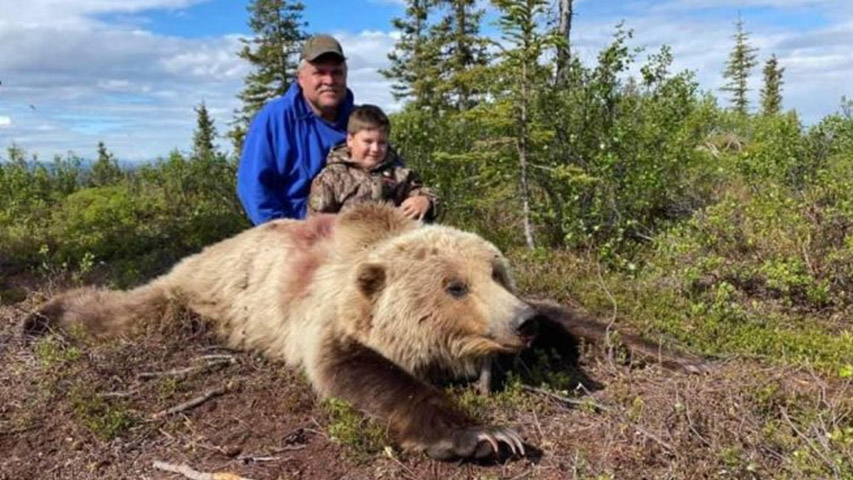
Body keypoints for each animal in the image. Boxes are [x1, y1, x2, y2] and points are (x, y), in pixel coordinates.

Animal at [24, 203, 705, 460]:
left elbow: (579, 318)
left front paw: (689, 357)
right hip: (201, 290)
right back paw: (40, 315)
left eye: (496, 271)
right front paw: (485, 434)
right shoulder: (328, 319)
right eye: (453, 286)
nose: (521, 324)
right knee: (129, 308)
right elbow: (363, 372)